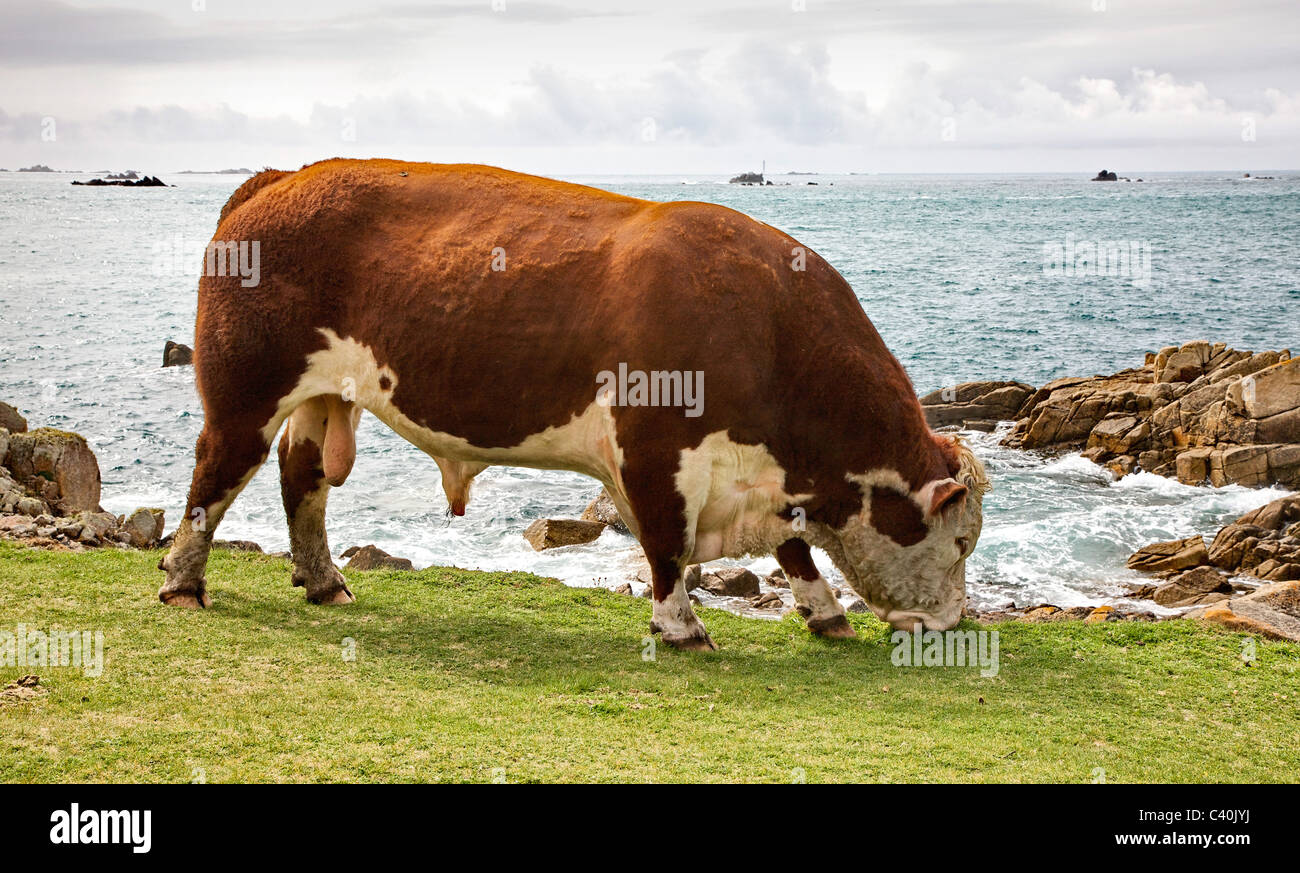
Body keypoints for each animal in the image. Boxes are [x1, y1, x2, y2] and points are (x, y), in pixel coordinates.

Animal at [159, 158, 990, 651]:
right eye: (960, 542)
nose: (955, 623)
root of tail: (282, 177)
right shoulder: (658, 448)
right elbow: (667, 544)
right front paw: (681, 626)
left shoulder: (761, 473)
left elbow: (793, 548)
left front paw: (826, 612)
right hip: (244, 392)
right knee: (214, 477)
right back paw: (183, 584)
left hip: (321, 394)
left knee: (300, 478)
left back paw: (324, 580)